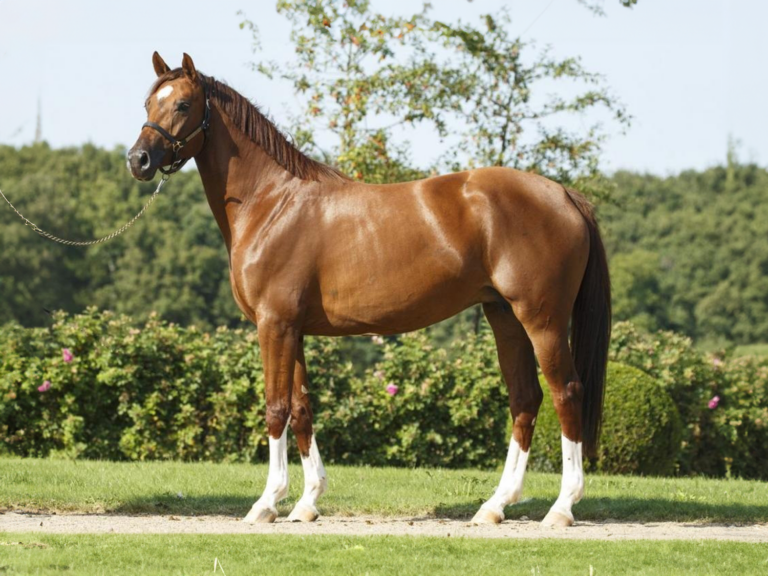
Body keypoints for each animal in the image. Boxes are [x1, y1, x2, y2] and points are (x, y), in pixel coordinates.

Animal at [127, 52, 611, 528]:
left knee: (566, 393)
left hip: (542, 320)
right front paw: (306, 502)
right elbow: (302, 409)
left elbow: (276, 408)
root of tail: (565, 195)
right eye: (148, 103)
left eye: (183, 105)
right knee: (525, 399)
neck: (272, 203)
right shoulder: (293, 330)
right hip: (505, 317)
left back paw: (562, 507)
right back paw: (495, 506)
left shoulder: (274, 325)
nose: (139, 160)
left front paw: (267, 502)